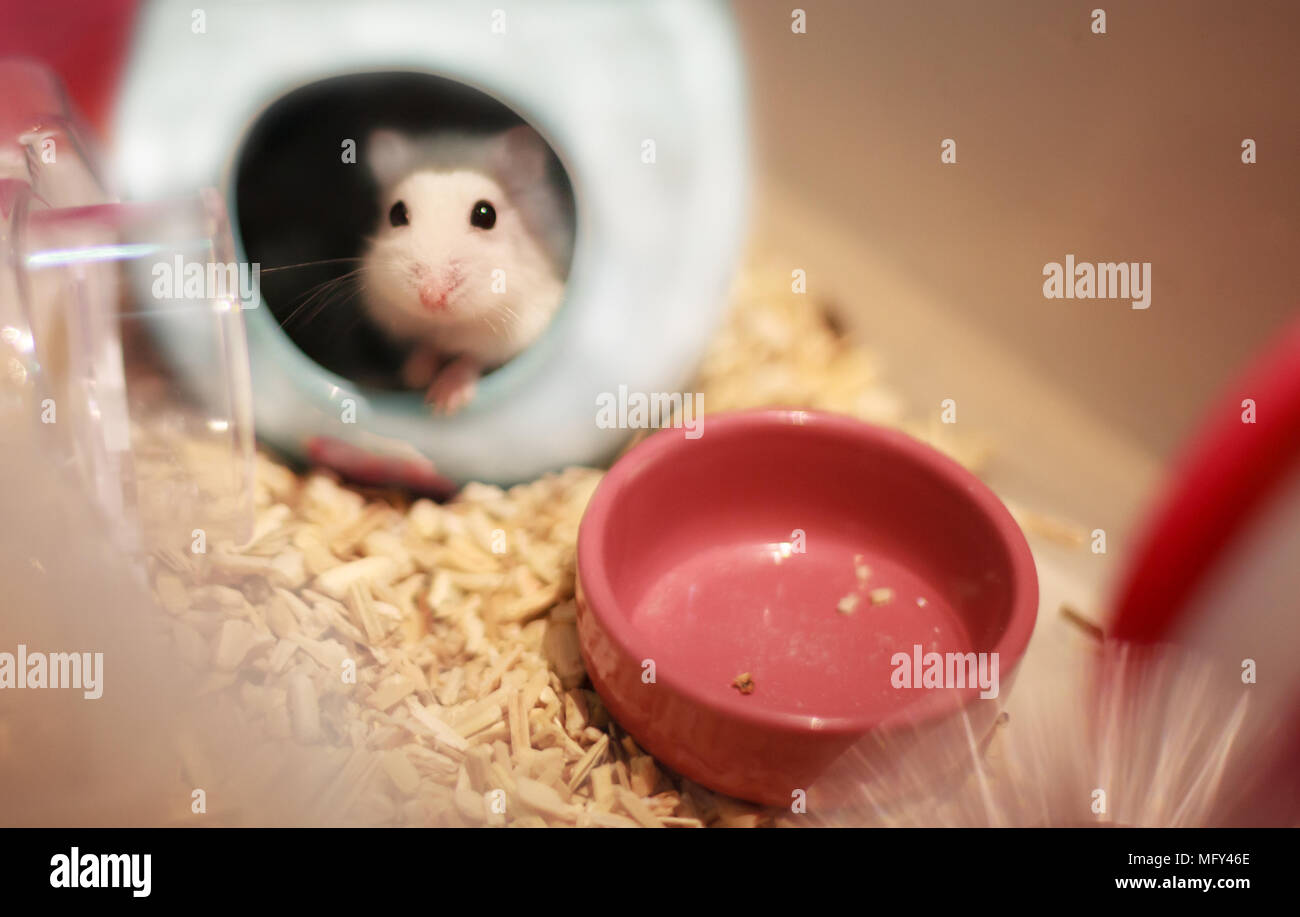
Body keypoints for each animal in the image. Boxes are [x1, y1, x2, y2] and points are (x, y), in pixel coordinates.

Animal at [361, 125, 573, 413]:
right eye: (396, 213)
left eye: (486, 214)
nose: (431, 298)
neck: (447, 325)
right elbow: (427, 346)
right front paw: (415, 376)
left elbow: (472, 357)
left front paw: (442, 403)